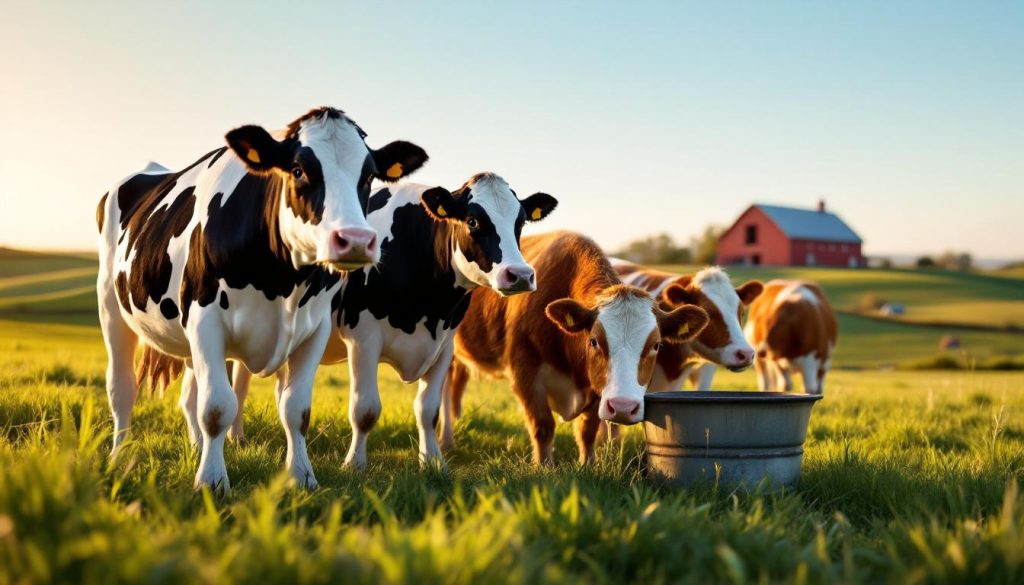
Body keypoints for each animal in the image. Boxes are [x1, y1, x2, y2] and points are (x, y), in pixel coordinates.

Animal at [97, 106, 428, 490]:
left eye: (369, 175)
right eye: (299, 169)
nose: (356, 240)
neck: (282, 282)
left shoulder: (315, 329)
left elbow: (296, 409)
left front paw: (301, 476)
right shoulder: (205, 319)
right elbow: (216, 407)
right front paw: (212, 480)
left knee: (188, 394)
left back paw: (196, 449)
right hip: (111, 306)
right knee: (122, 388)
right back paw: (119, 456)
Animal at [169, 173, 558, 471]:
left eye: (520, 222)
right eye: (474, 221)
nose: (520, 275)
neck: (430, 308)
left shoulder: (444, 347)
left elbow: (428, 410)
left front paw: (433, 462)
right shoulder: (364, 338)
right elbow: (365, 409)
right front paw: (355, 464)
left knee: (242, 383)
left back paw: (237, 438)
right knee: (202, 392)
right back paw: (203, 444)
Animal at [440, 231, 710, 465]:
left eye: (656, 345)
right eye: (594, 341)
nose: (623, 407)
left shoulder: (596, 386)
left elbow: (588, 429)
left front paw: (588, 463)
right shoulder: (524, 371)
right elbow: (542, 425)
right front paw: (544, 466)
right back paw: (446, 440)